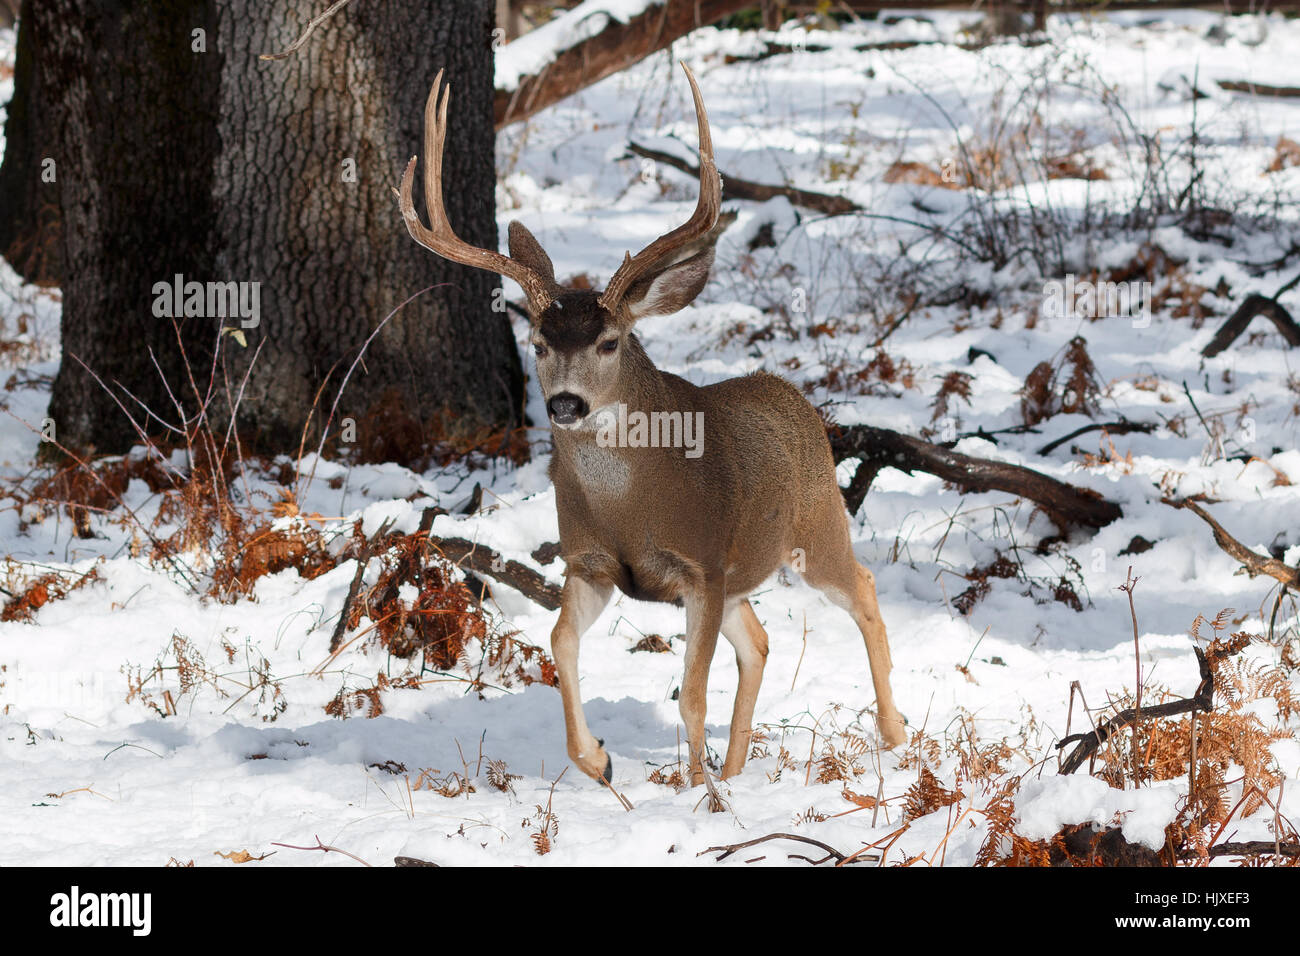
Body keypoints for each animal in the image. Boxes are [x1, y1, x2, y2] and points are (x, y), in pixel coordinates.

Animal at [397, 64, 907, 798]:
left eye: (609, 342)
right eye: (538, 342)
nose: (566, 405)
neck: (632, 505)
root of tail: (793, 395)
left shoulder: (702, 564)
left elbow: (690, 694)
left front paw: (694, 793)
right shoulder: (591, 562)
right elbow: (560, 643)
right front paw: (600, 760)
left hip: (815, 526)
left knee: (862, 590)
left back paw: (893, 735)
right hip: (745, 573)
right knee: (759, 642)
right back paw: (735, 768)